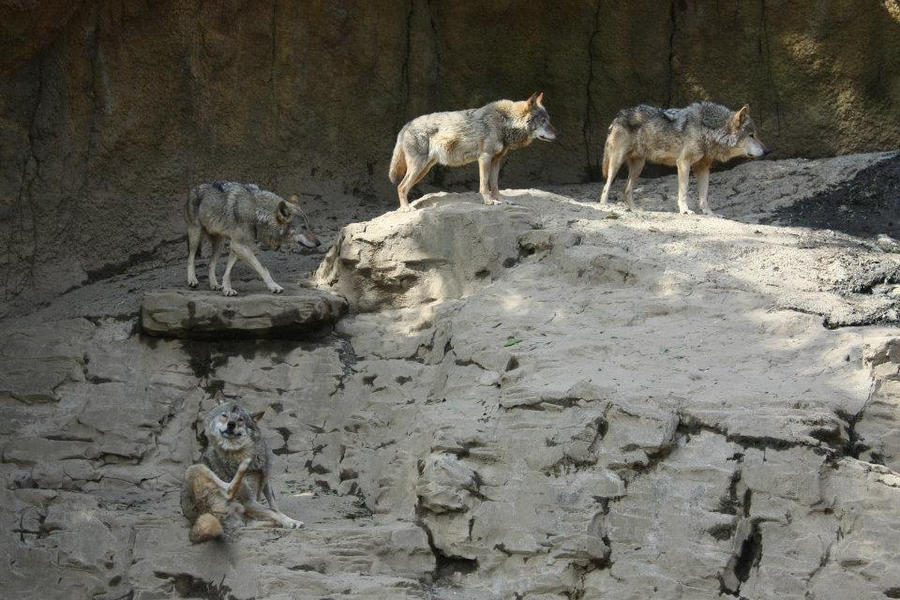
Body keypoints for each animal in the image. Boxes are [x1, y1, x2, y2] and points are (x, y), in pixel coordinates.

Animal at [180, 401, 303, 542]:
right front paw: (291, 522)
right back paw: (244, 466)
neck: (241, 451)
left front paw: (287, 520)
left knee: (247, 524)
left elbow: (274, 506)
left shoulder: (265, 480)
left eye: (240, 419)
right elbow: (272, 510)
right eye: (225, 415)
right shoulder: (248, 500)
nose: (231, 424)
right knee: (229, 491)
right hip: (194, 468)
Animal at [185, 181, 321, 296]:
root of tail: (195, 187)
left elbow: (228, 271)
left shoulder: (237, 246)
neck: (257, 212)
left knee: (210, 264)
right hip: (196, 235)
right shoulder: (238, 245)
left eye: (308, 226)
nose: (319, 243)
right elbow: (262, 268)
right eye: (303, 227)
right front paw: (274, 286)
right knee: (191, 257)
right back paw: (192, 279)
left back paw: (214, 285)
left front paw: (227, 288)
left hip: (220, 244)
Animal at [388, 92, 557, 211]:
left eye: (548, 119)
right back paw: (406, 209)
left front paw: (501, 200)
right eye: (543, 121)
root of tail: (406, 125)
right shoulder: (484, 158)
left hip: (423, 170)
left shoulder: (496, 161)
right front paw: (489, 202)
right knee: (400, 187)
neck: (505, 122)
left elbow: (495, 185)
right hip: (418, 168)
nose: (557, 135)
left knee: (402, 187)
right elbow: (484, 185)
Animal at [599, 102, 769, 215]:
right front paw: (685, 210)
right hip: (616, 163)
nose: (768, 151)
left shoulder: (703, 168)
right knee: (606, 186)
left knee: (625, 190)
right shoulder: (683, 163)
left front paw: (709, 213)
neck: (707, 130)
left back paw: (636, 210)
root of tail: (618, 116)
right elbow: (684, 191)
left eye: (757, 135)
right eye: (751, 135)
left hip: (638, 167)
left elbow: (704, 195)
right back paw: (604, 206)